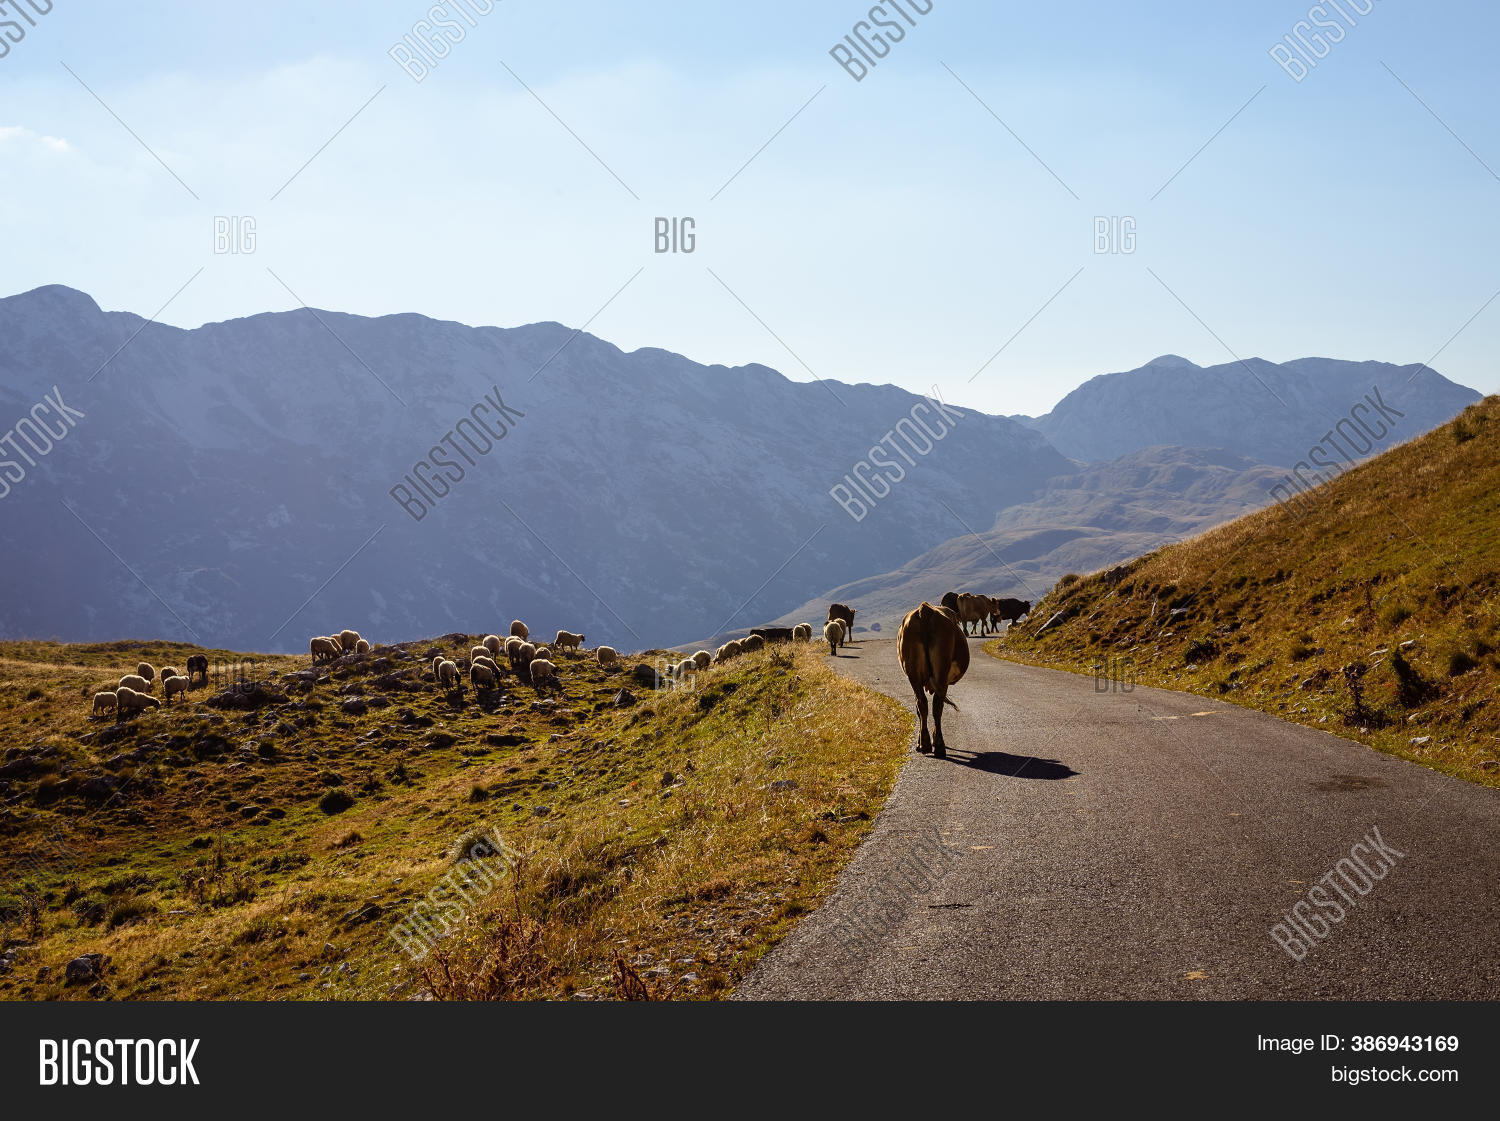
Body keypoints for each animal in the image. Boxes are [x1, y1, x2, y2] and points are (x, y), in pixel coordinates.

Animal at [896, 602, 969, 757]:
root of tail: (925, 609)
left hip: (913, 674)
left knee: (922, 704)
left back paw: (924, 744)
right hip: (941, 672)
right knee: (937, 707)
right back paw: (939, 746)